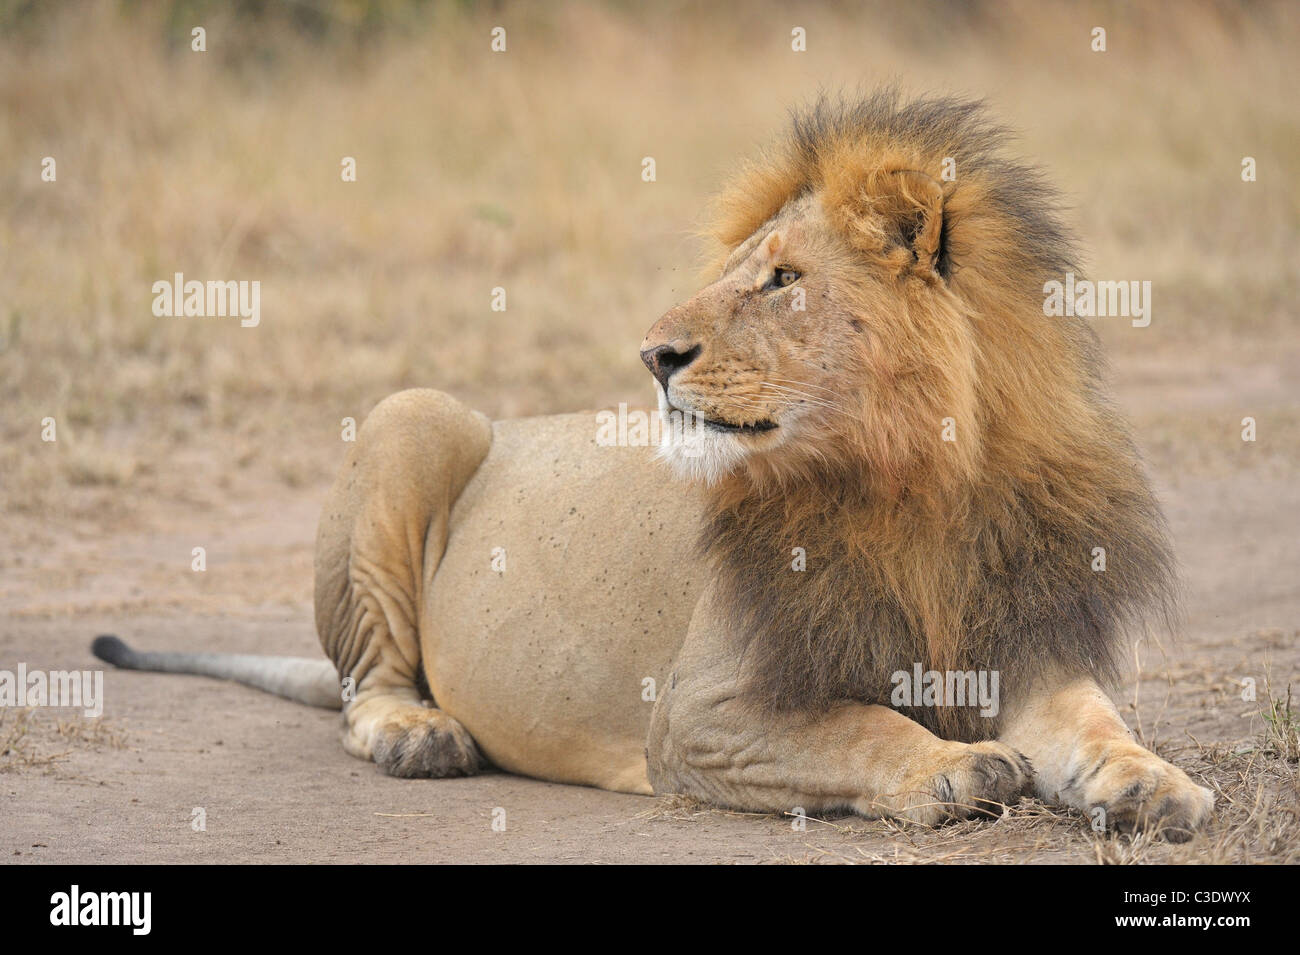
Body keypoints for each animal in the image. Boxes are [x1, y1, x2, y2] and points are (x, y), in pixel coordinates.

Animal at [93, 90, 1213, 839]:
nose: (654, 355)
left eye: (783, 281)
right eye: (739, 273)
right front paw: (959, 767)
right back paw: (421, 733)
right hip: (412, 416)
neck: (913, 488)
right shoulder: (701, 714)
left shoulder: (1020, 642)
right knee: (365, 684)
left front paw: (1153, 783)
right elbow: (860, 727)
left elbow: (1096, 721)